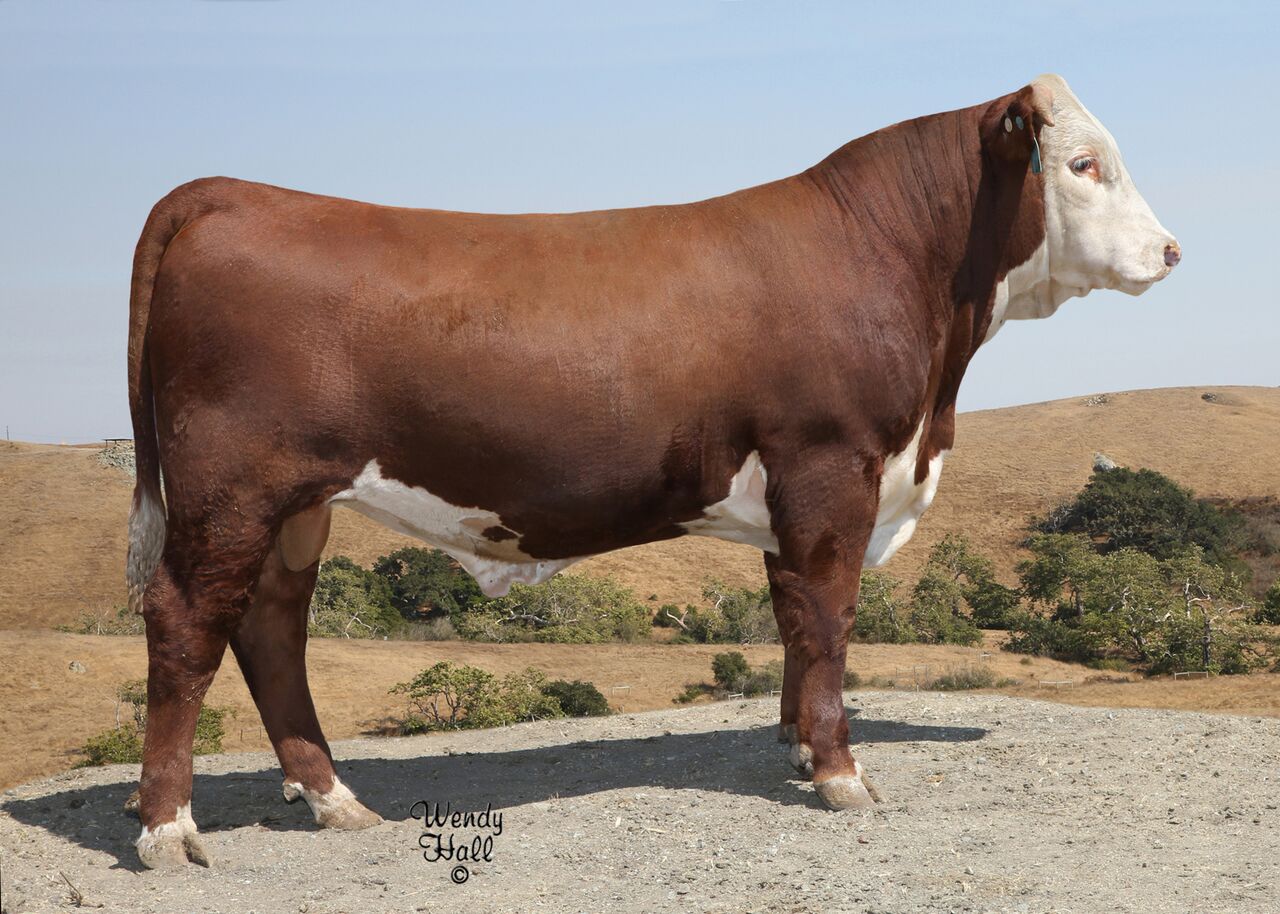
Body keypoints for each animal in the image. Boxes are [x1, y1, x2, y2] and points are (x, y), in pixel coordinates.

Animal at [124, 74, 1178, 867]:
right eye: (1083, 163)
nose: (1170, 250)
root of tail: (232, 191)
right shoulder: (830, 463)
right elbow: (830, 618)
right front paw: (843, 775)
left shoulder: (794, 491)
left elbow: (793, 618)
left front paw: (799, 749)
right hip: (230, 486)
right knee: (186, 622)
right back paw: (168, 829)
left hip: (295, 505)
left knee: (270, 628)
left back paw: (333, 799)